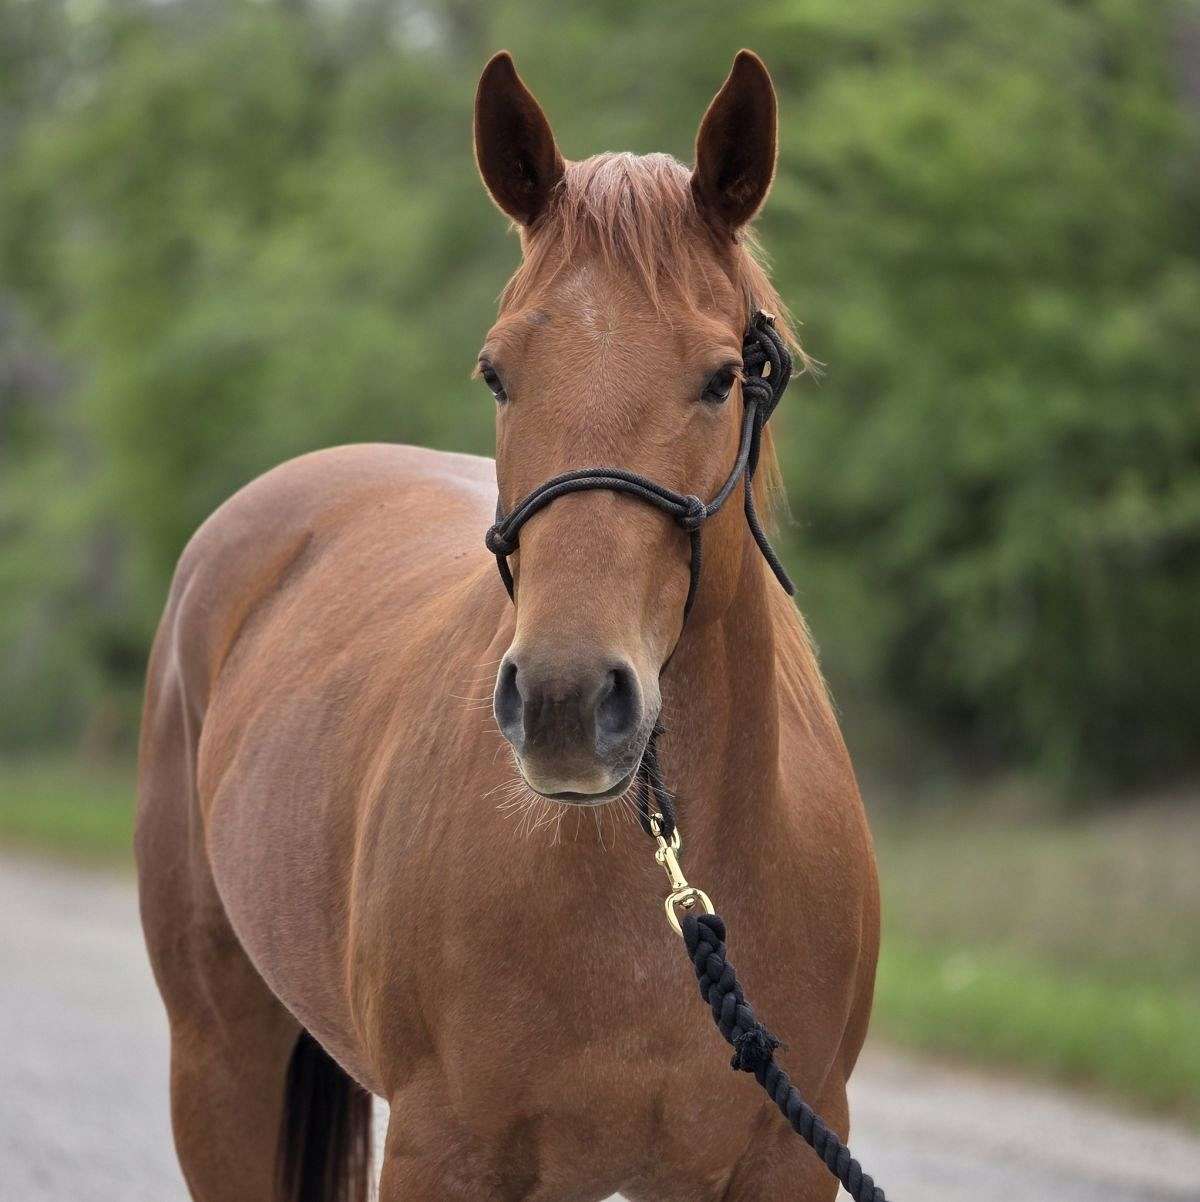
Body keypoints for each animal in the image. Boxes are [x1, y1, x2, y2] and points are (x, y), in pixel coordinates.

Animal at [136, 49, 880, 1202]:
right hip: (217, 1060)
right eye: (498, 372)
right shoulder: (444, 1153)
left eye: (723, 377)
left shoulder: (775, 1163)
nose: (568, 703)